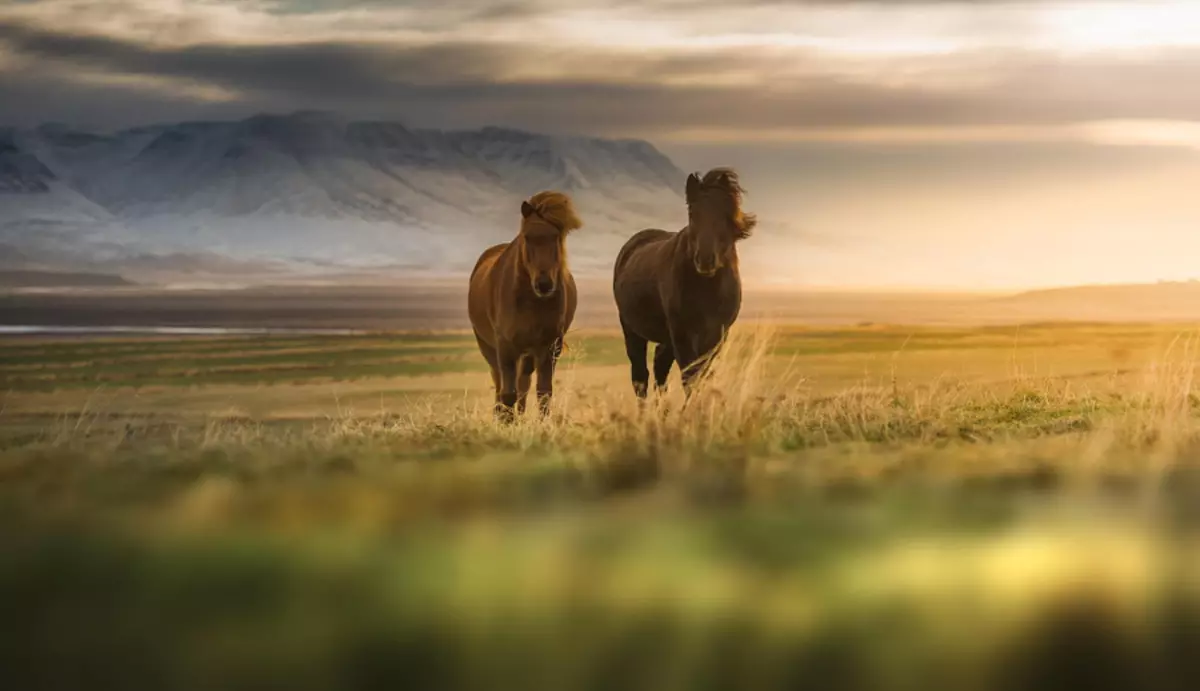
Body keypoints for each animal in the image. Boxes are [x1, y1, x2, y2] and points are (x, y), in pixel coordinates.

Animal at [465, 189, 583, 422]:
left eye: (557, 236)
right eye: (527, 237)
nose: (544, 284)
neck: (530, 301)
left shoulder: (548, 347)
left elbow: (543, 393)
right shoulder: (505, 346)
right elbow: (508, 393)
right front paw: (506, 423)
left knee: (523, 385)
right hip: (489, 347)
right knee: (501, 384)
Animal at [614, 164, 753, 395]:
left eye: (724, 214)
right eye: (692, 213)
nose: (705, 260)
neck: (708, 288)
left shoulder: (717, 336)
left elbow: (701, 376)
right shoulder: (683, 335)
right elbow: (690, 377)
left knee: (659, 368)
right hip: (632, 330)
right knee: (640, 376)